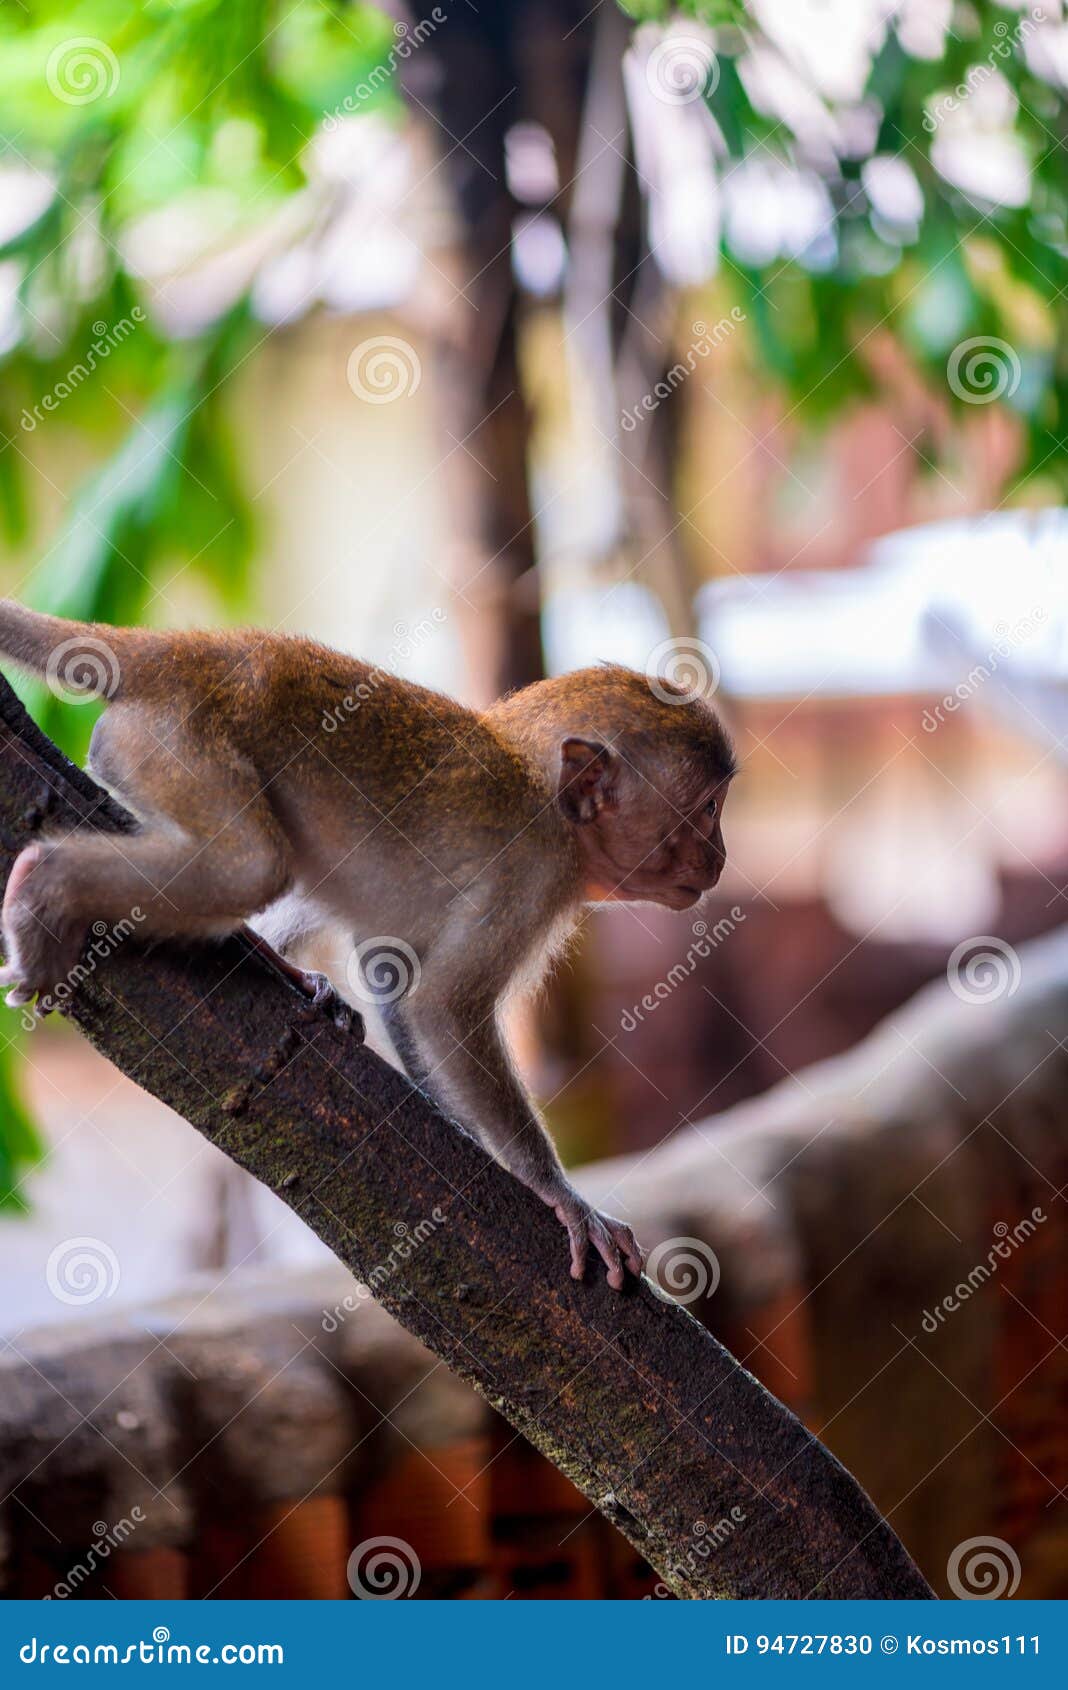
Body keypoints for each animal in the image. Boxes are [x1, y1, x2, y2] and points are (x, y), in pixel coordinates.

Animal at [0, 600, 735, 1290]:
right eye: (706, 811)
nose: (721, 856)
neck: (545, 797)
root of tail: (193, 653)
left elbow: (397, 976)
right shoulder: (531, 877)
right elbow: (442, 1006)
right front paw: (558, 1192)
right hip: (176, 742)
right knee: (252, 865)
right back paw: (48, 889)